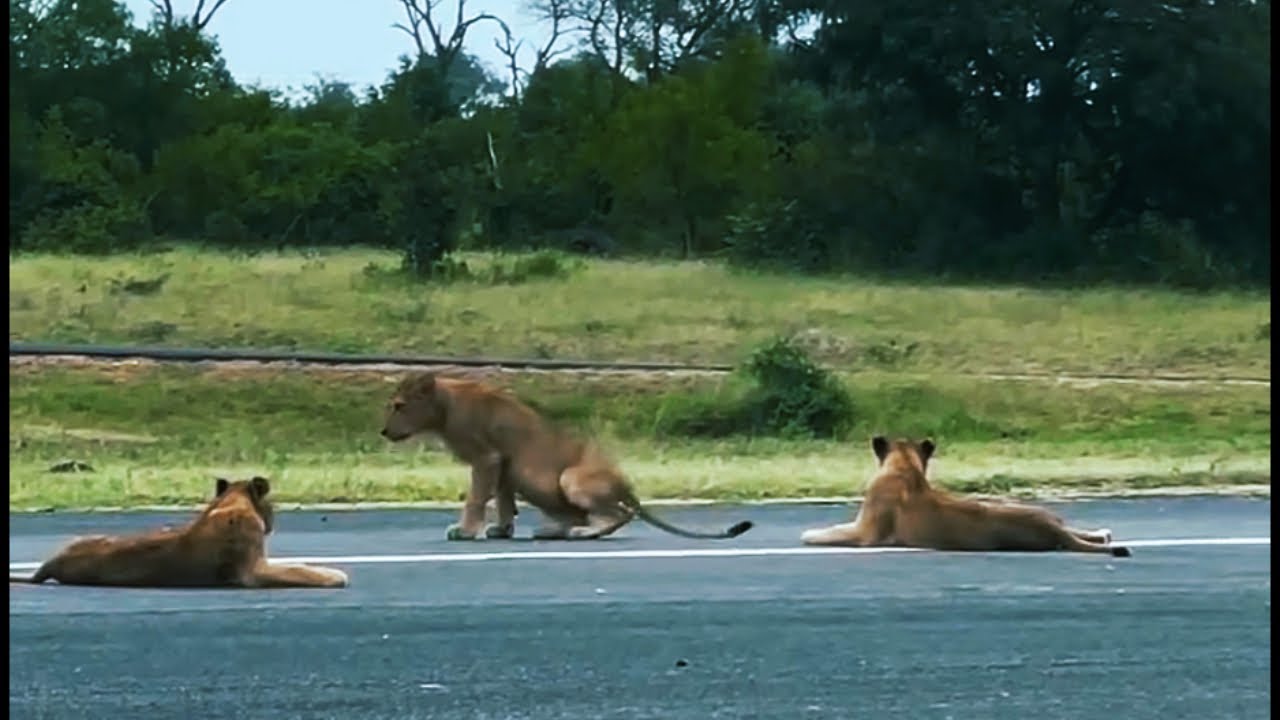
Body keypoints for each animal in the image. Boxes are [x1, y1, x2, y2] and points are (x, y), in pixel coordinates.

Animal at [9, 477, 350, 588]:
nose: (274, 521)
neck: (231, 502)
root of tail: (50, 564)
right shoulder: (250, 572)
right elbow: (298, 571)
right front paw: (335, 576)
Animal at [379, 373, 753, 541]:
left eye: (399, 406)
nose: (383, 431)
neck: (443, 408)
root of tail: (628, 487)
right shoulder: (504, 464)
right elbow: (502, 499)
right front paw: (502, 529)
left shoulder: (487, 459)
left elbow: (476, 498)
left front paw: (465, 530)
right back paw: (553, 530)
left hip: (570, 477)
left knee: (620, 514)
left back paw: (581, 533)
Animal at [800, 436, 1132, 557]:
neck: (906, 466)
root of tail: (1050, 529)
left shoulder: (866, 533)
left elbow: (826, 534)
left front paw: (808, 534)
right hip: (1021, 506)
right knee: (1080, 530)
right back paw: (1103, 533)